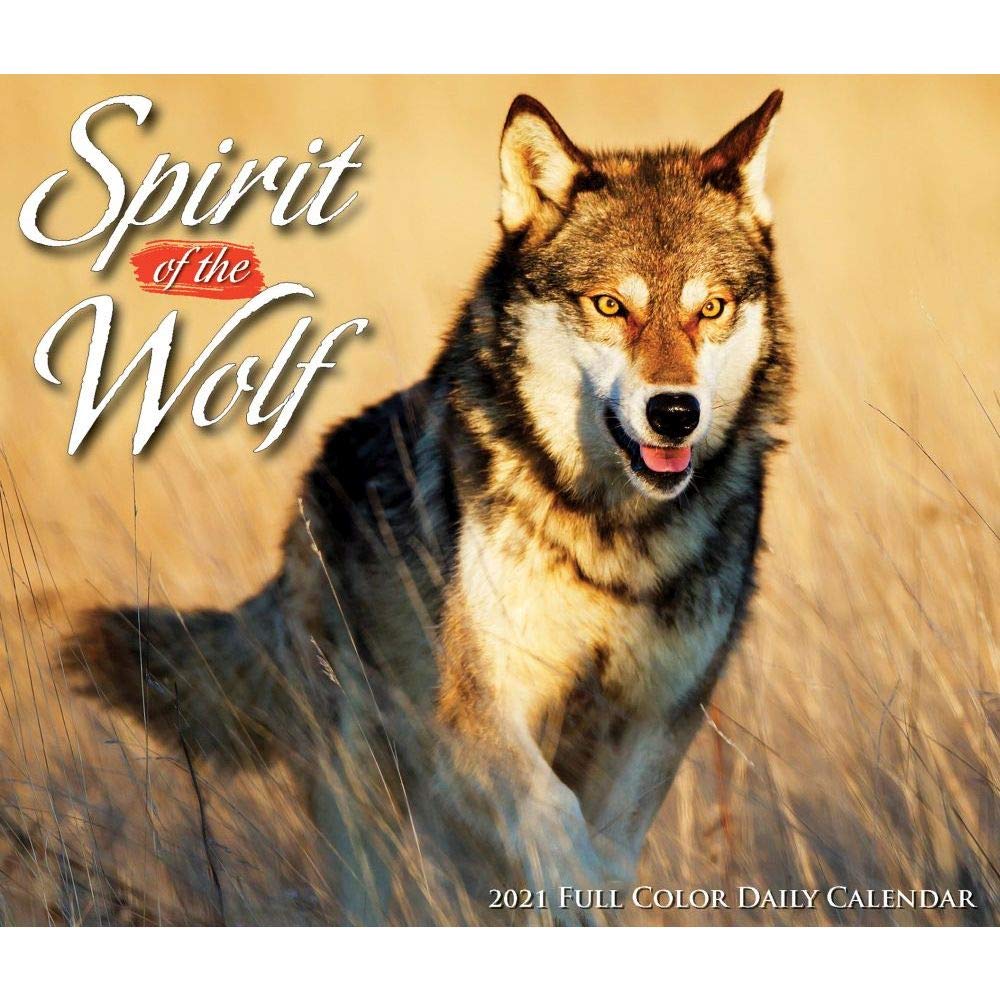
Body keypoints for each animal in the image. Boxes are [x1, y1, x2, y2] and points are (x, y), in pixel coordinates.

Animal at [73, 90, 793, 924]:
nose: (675, 413)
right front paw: (572, 884)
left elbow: (612, 840)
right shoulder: (475, 701)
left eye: (711, 308)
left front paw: (600, 892)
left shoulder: (662, 709)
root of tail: (309, 492)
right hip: (364, 788)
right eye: (611, 306)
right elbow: (552, 813)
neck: (612, 535)